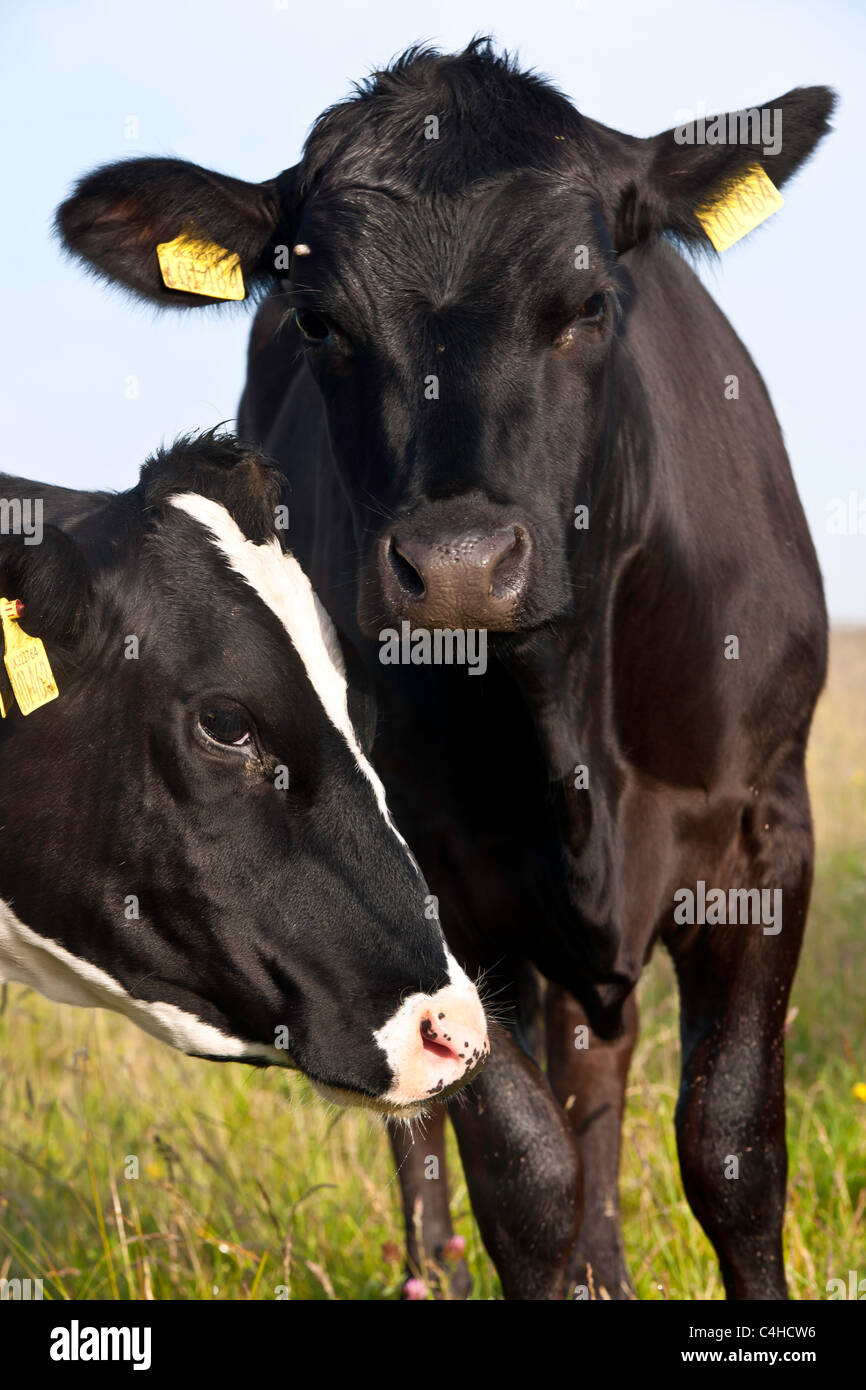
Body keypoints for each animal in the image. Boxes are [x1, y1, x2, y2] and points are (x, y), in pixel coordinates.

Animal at [55, 39, 833, 1300]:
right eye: (318, 322)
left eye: (588, 305)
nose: (459, 565)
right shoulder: (429, 869)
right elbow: (521, 1170)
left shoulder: (768, 826)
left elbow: (728, 1142)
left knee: (597, 1067)